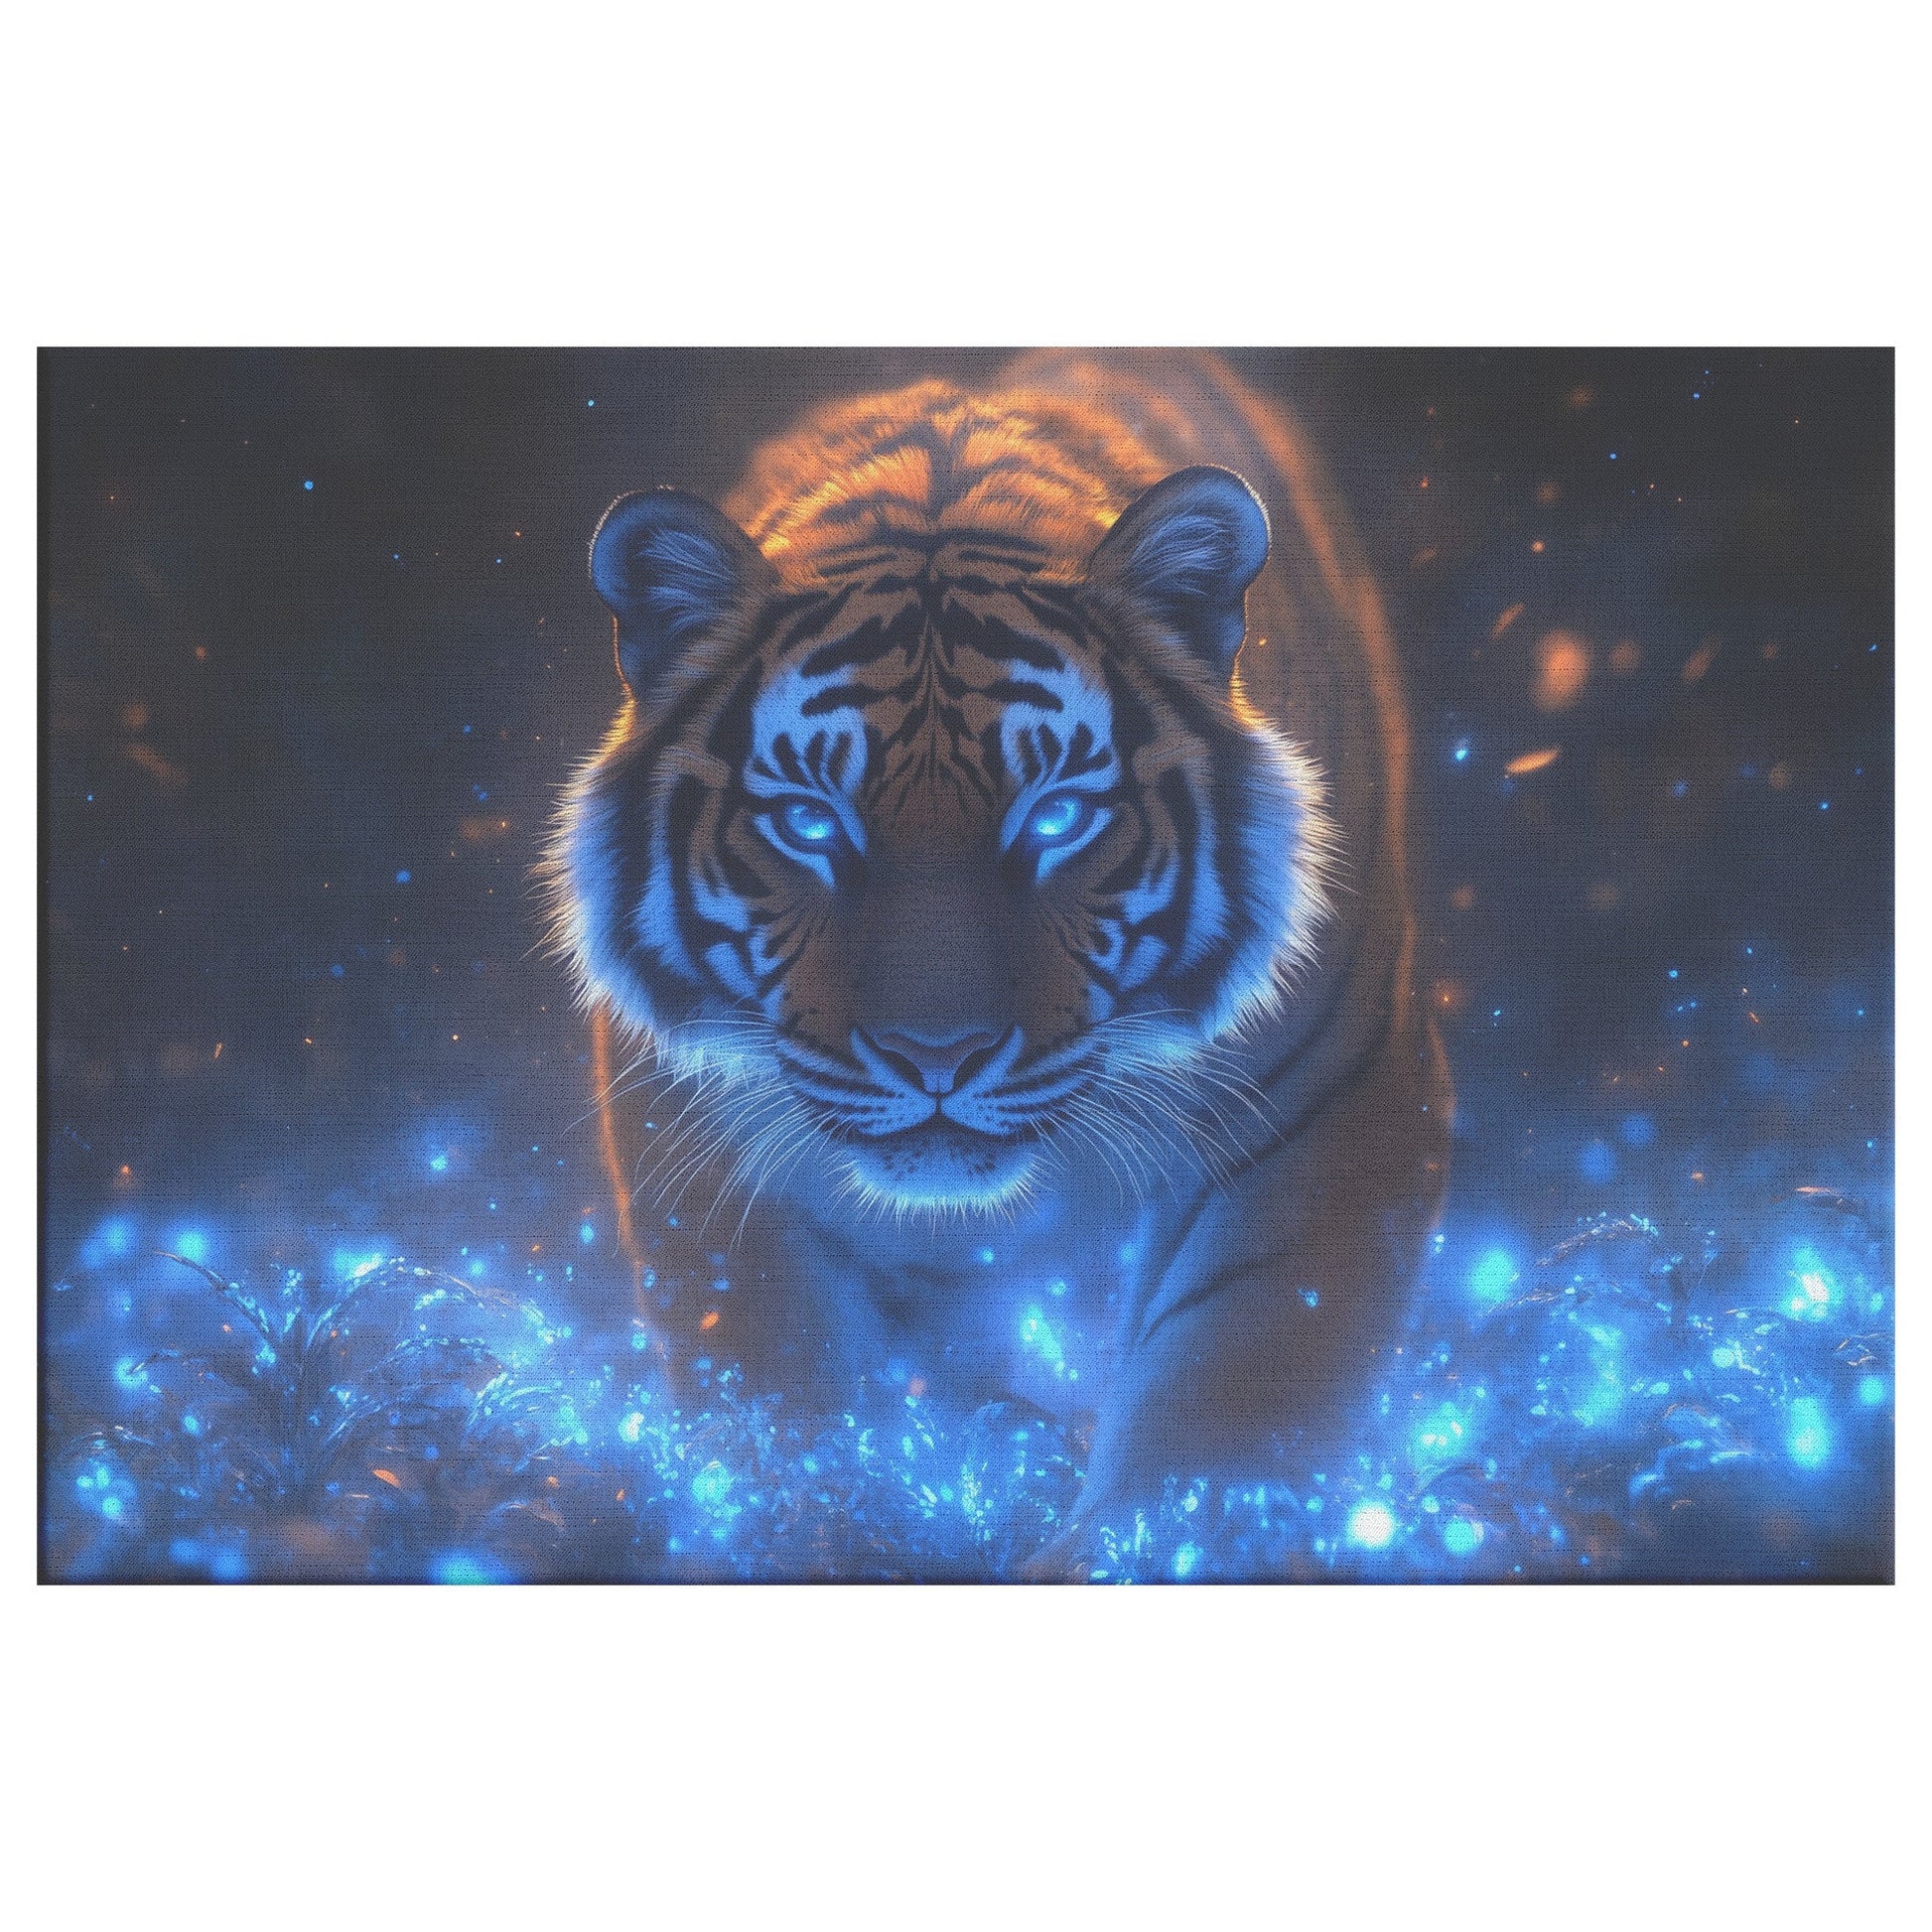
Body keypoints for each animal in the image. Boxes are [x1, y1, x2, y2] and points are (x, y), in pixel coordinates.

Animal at [544, 349, 1450, 1557]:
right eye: (810, 821)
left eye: (1056, 814)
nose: (938, 1059)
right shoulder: (697, 1141)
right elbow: (783, 1389)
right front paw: (830, 1526)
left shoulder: (1328, 1112)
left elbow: (1225, 1412)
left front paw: (1153, 1549)